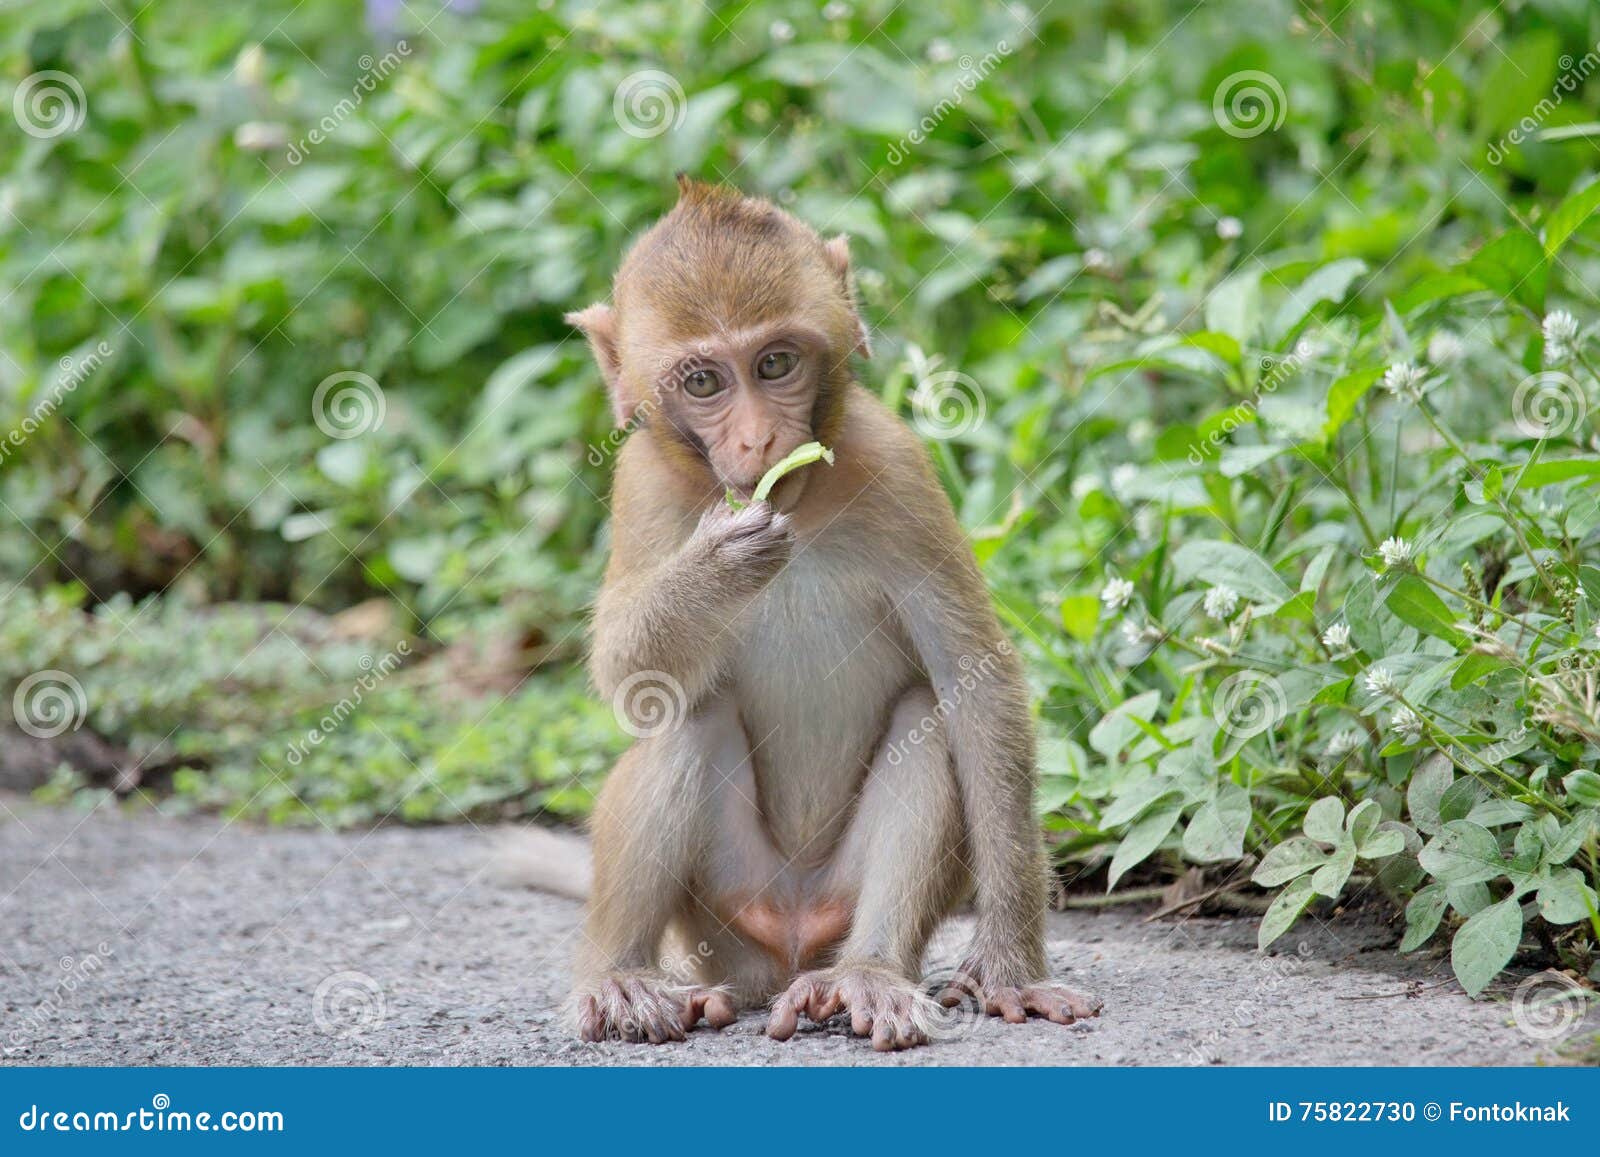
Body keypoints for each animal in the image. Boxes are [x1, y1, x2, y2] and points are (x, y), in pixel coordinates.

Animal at [525, 176, 1100, 1051]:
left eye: (775, 363)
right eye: (703, 382)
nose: (761, 442)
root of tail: (785, 945)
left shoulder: (896, 466)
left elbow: (972, 679)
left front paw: (1009, 966)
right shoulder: (641, 483)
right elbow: (628, 676)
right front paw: (715, 567)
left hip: (835, 901)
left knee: (924, 715)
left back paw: (867, 976)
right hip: (720, 915)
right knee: (687, 713)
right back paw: (622, 978)